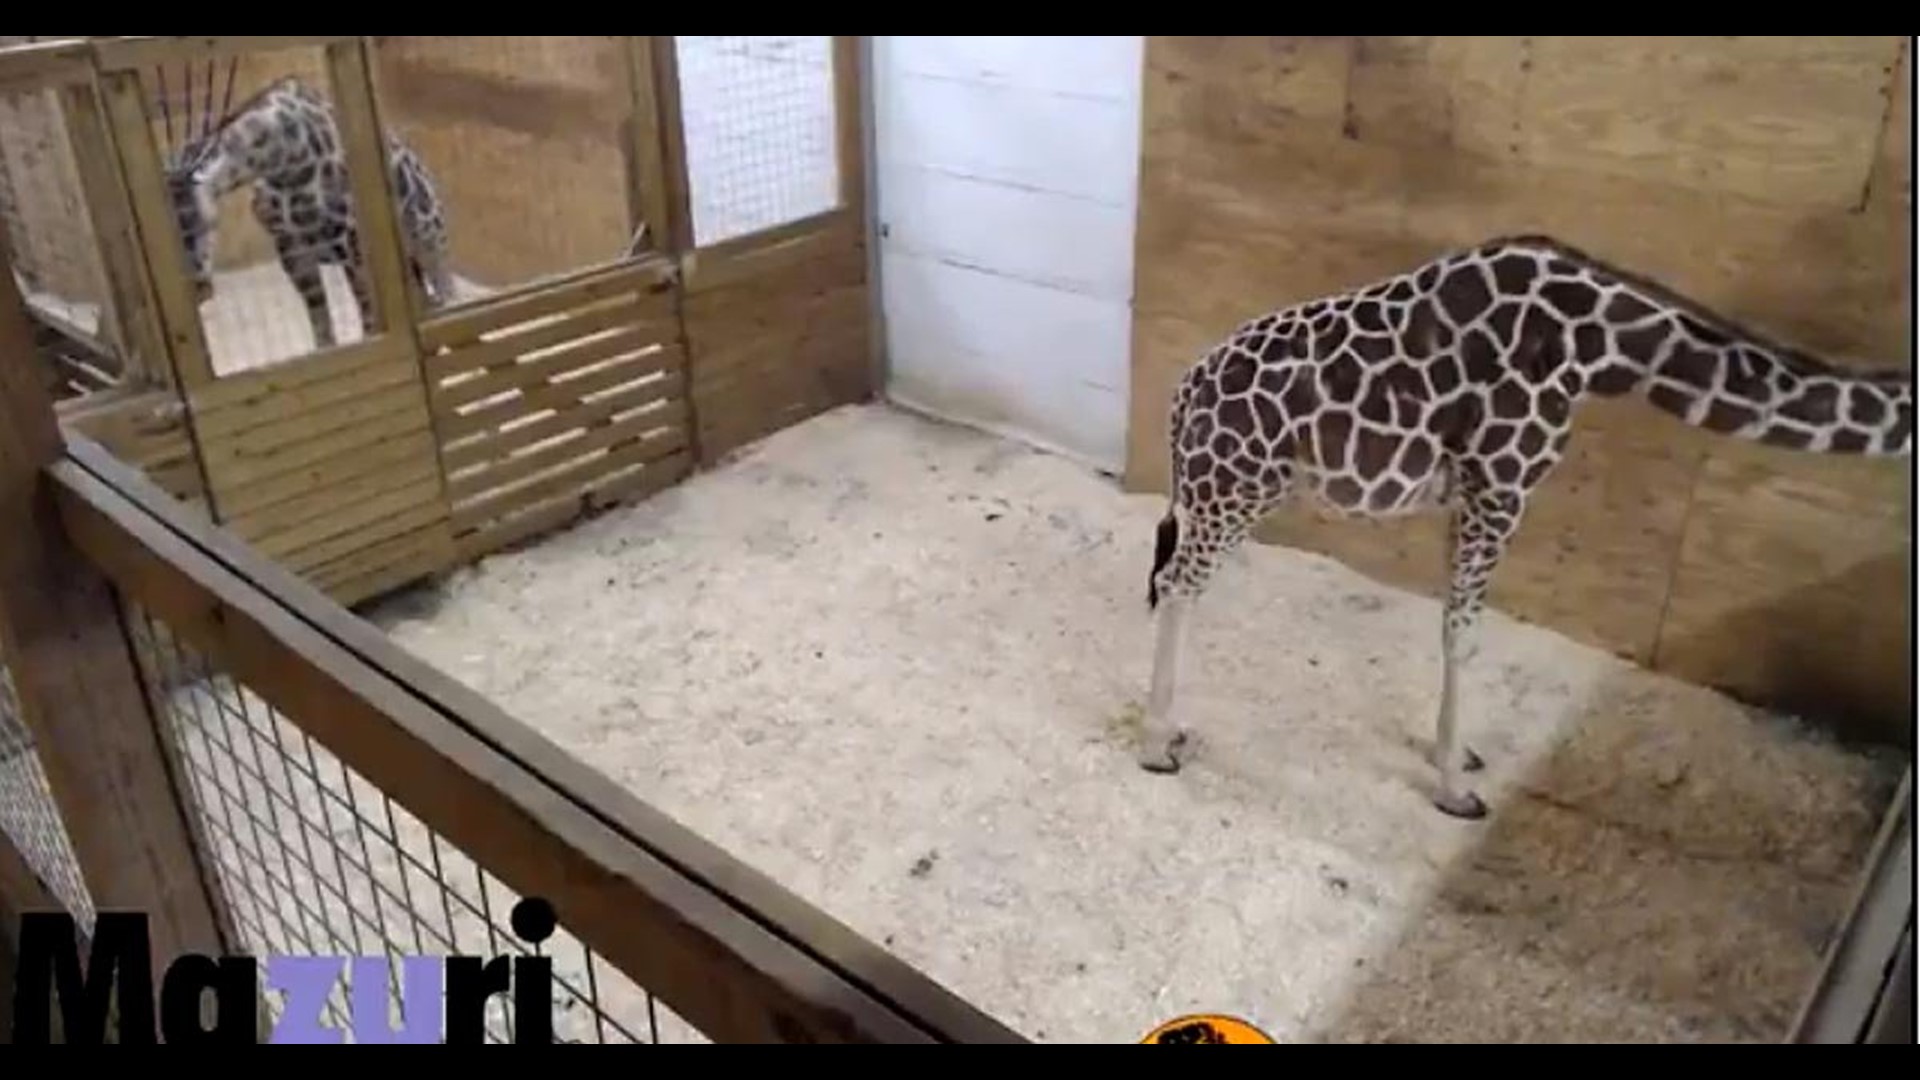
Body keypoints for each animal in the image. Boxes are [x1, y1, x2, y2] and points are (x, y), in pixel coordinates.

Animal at [163, 76, 455, 352]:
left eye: (191, 225)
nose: (197, 288)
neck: (283, 157)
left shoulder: (350, 240)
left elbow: (369, 310)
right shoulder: (291, 248)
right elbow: (320, 322)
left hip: (427, 238)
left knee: (444, 290)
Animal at [1139, 234, 1913, 820]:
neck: (1603, 348)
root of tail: (1182, 395)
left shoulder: (1467, 493)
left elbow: (1453, 626)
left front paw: (1457, 750)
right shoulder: (1505, 481)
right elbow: (1465, 634)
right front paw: (1455, 789)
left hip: (1220, 492)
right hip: (1237, 489)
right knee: (1178, 583)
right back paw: (1157, 743)